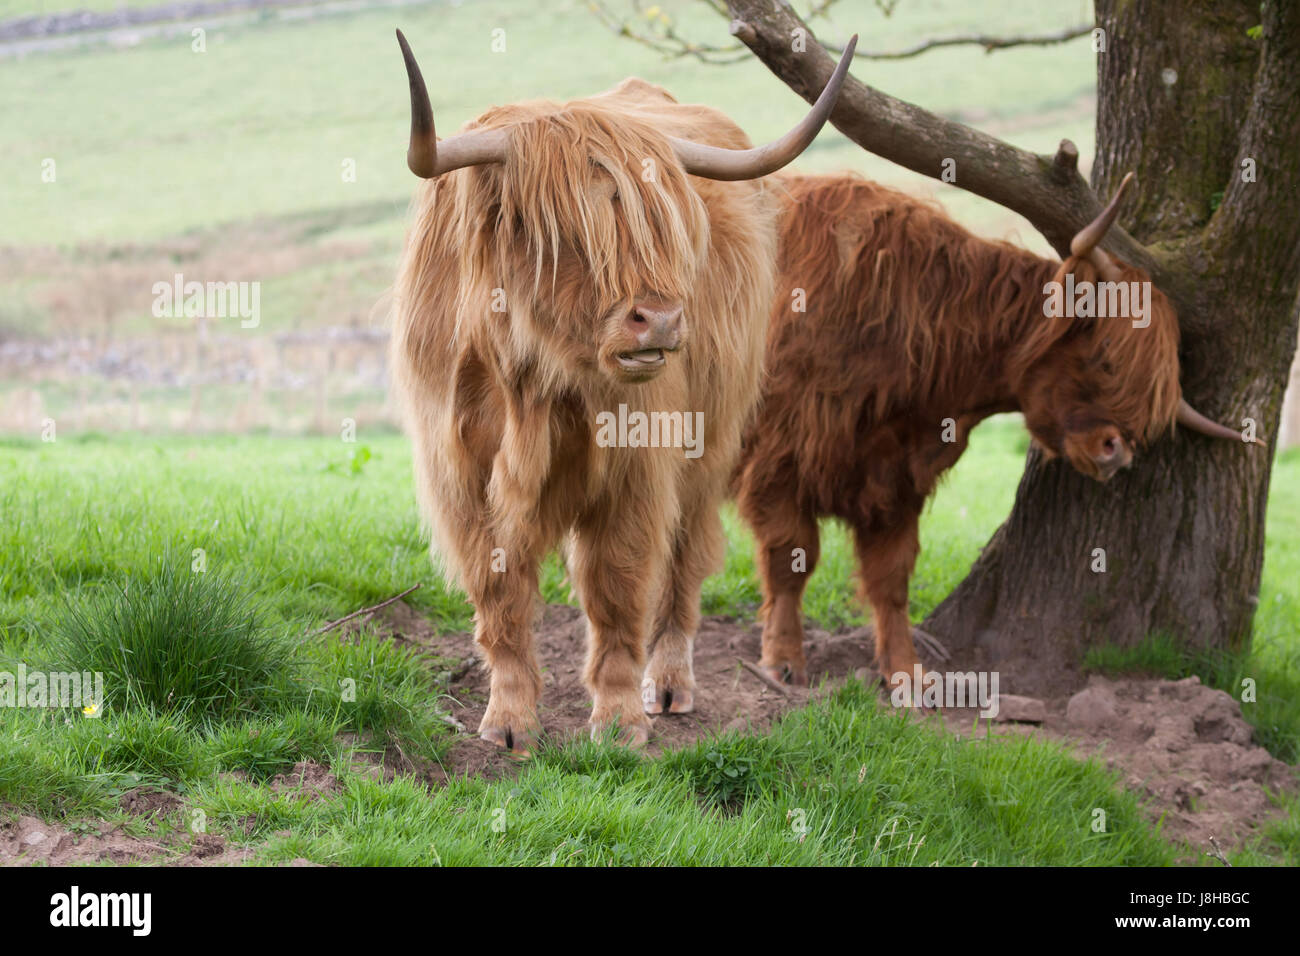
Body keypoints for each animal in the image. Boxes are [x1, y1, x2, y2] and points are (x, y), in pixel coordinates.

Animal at [389, 31, 856, 753]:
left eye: (663, 227)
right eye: (563, 231)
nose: (659, 320)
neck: (528, 383)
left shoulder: (636, 466)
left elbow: (616, 584)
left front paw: (618, 721)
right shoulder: (458, 473)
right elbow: (498, 590)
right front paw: (508, 719)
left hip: (710, 441)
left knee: (684, 558)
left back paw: (667, 684)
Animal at [732, 172, 1262, 692]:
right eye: (1105, 357)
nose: (1117, 453)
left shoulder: (895, 481)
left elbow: (892, 579)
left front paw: (907, 674)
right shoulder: (780, 462)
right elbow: (791, 559)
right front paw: (782, 662)